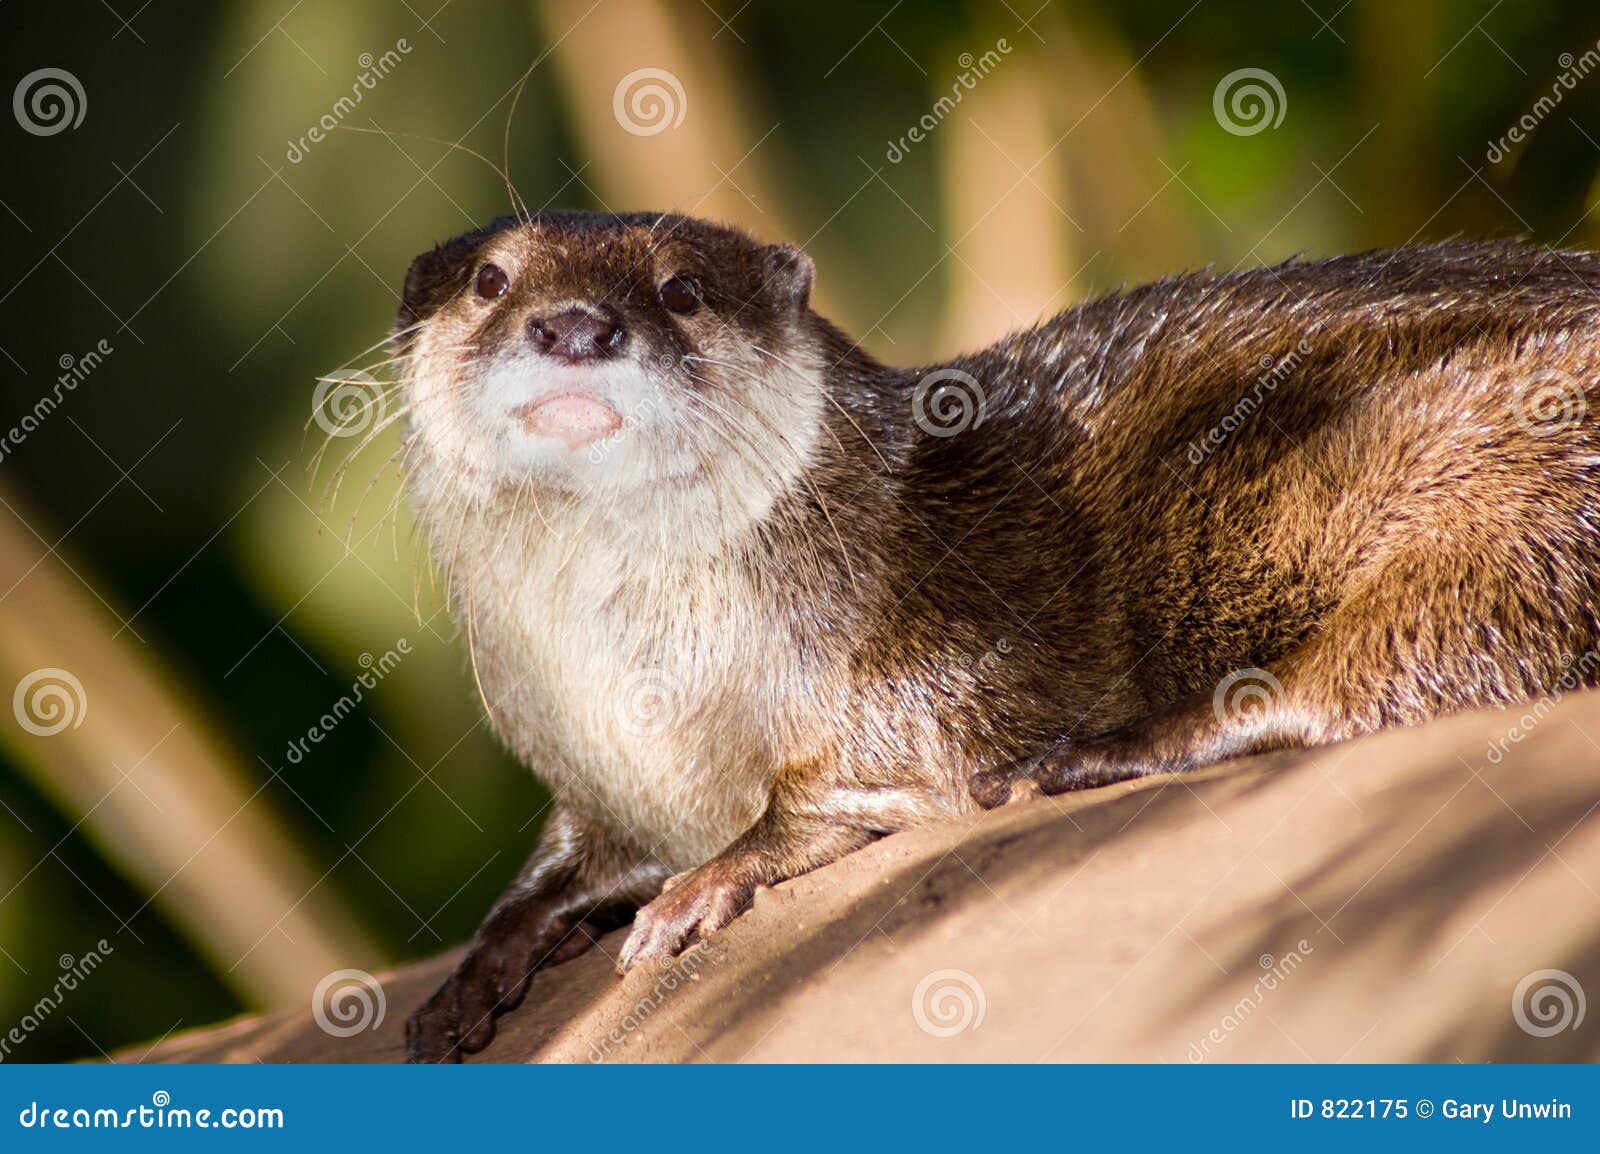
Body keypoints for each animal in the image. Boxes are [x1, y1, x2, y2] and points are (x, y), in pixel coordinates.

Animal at [391, 211, 1600, 1062]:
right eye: (491, 278)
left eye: (680, 289)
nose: (575, 325)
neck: (659, 715)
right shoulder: (598, 768)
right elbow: (566, 855)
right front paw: (491, 957)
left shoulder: (935, 634)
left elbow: (882, 765)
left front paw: (708, 881)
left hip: (1501, 461)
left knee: (1406, 652)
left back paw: (1089, 756)